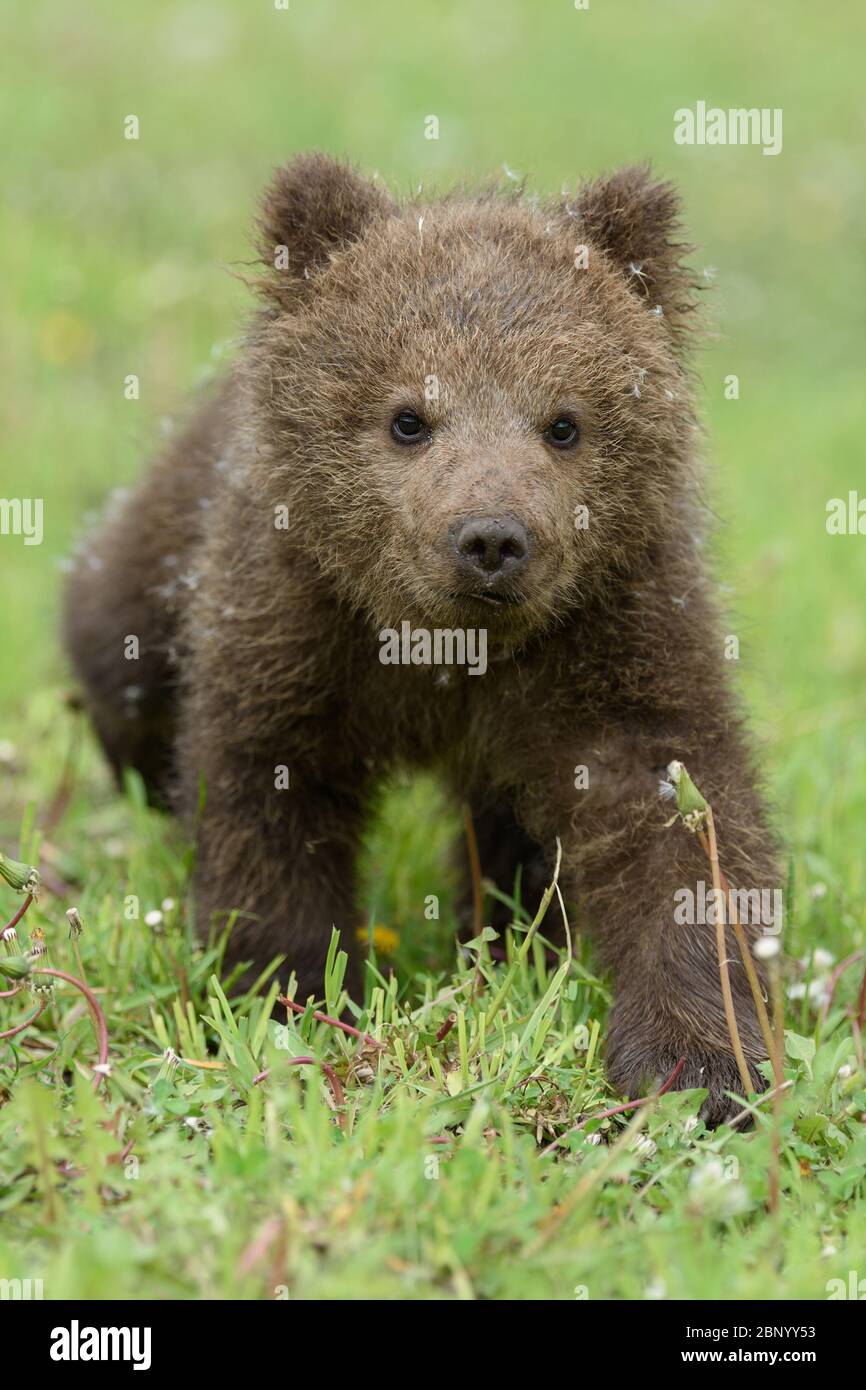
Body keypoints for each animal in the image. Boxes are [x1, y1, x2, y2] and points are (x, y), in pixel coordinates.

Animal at [64, 154, 780, 1125]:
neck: (445, 654)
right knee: (115, 658)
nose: (491, 539)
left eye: (565, 422)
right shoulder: (295, 623)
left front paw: (697, 1062)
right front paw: (287, 996)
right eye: (408, 416)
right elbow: (266, 794)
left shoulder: (615, 631)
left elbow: (680, 817)